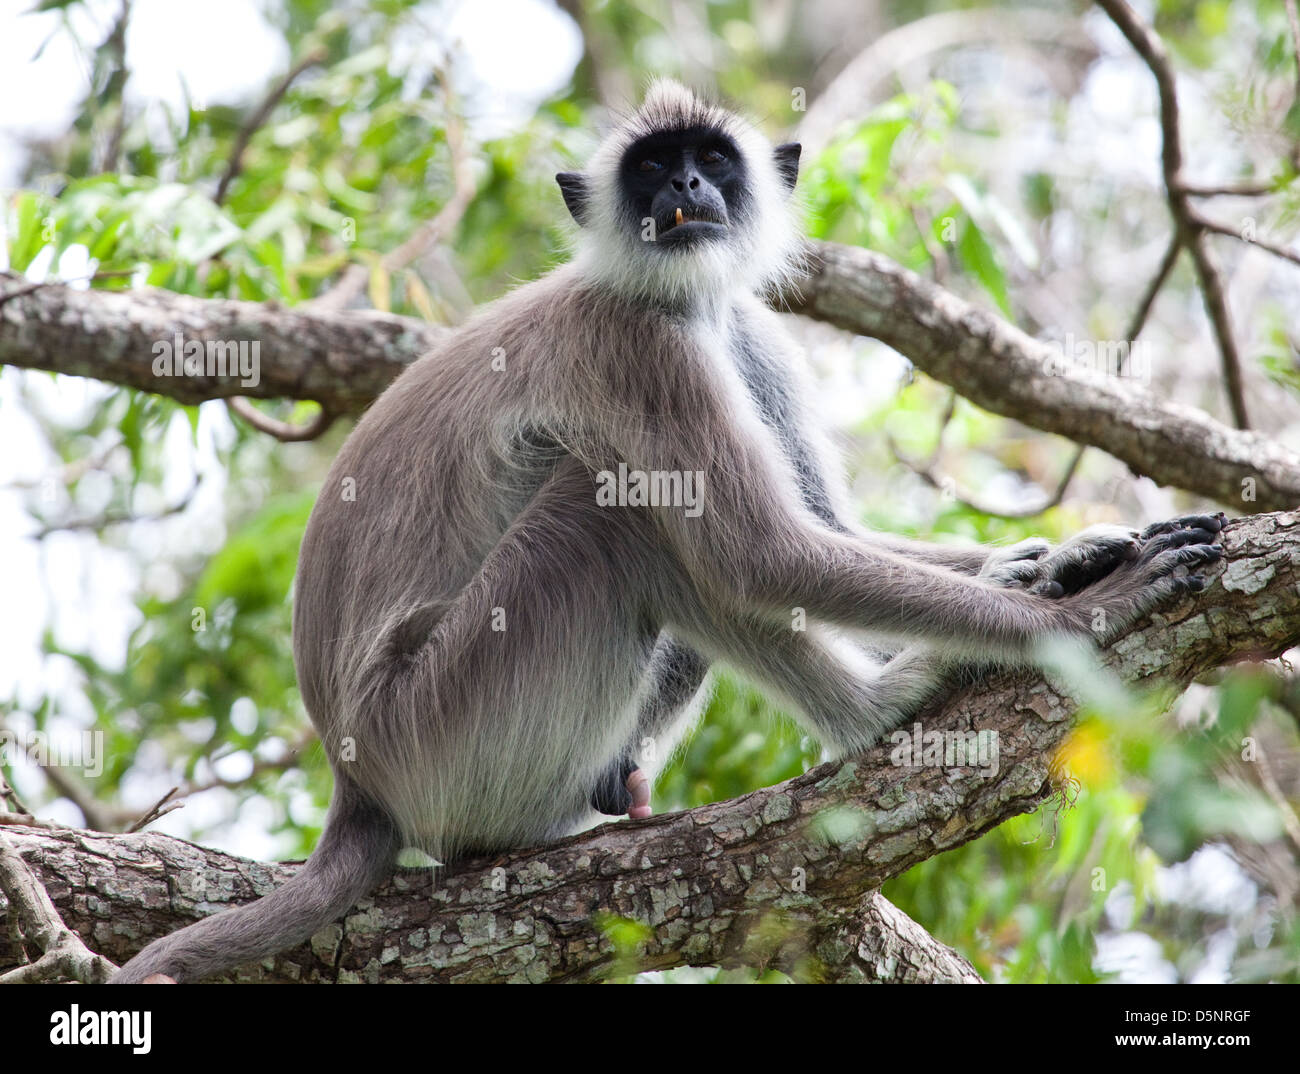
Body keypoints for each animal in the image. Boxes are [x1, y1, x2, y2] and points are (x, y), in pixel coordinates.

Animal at [112, 80, 1222, 983]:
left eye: (710, 159)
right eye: (651, 166)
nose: (684, 182)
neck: (665, 295)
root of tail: (353, 776)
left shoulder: (741, 332)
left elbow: (824, 528)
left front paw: (1056, 562)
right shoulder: (639, 347)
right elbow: (766, 555)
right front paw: (1077, 623)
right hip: (441, 722)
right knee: (628, 521)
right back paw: (873, 711)